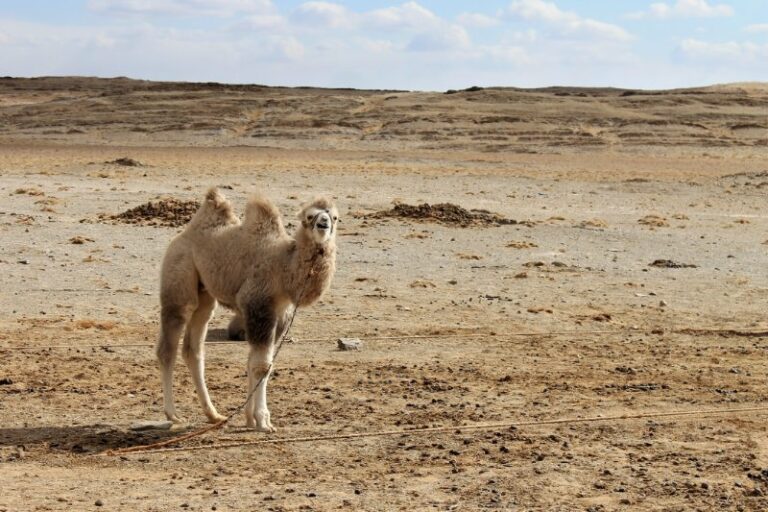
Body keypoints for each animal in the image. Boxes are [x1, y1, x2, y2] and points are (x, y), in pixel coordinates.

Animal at [156, 188, 338, 431]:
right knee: (169, 344)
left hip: (205, 294)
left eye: (335, 217)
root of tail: (182, 236)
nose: (323, 224)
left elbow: (255, 362)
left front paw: (250, 418)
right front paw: (263, 421)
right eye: (310, 216)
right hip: (179, 274)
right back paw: (173, 414)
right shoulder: (257, 304)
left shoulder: (280, 315)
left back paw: (214, 415)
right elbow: (262, 366)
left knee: (194, 348)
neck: (283, 267)